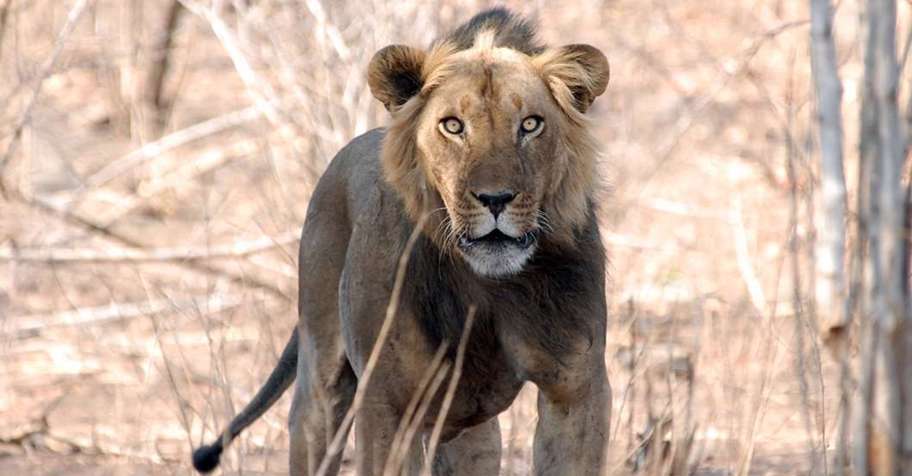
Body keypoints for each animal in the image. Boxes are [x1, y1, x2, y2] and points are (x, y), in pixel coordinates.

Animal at [191, 8, 611, 475]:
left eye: (531, 125)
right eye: (453, 126)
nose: (495, 199)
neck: (489, 289)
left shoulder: (576, 389)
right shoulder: (387, 401)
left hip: (469, 427)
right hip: (323, 385)